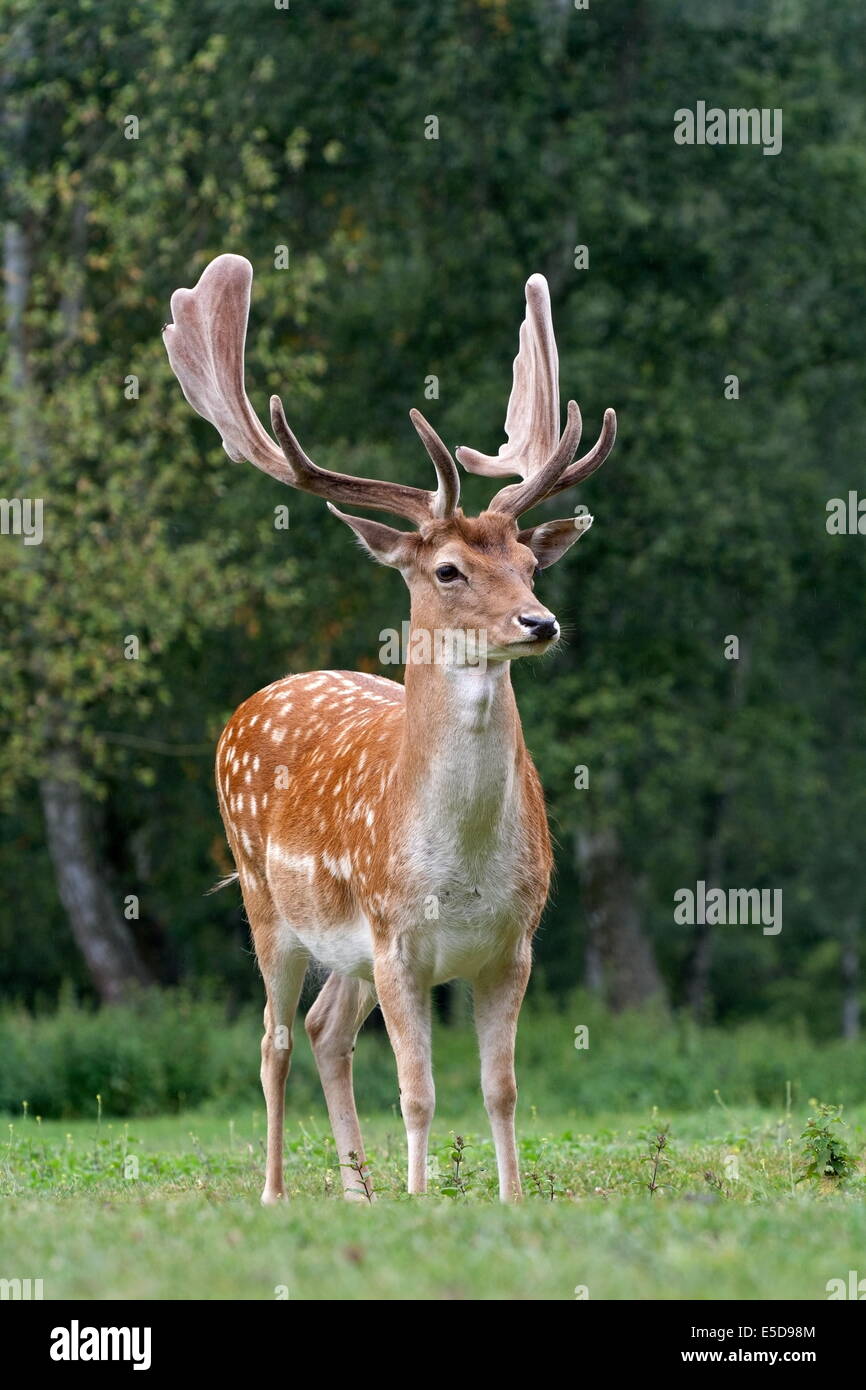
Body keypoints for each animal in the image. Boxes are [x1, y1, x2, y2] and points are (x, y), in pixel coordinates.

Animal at [163, 255, 616, 1203]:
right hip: (267, 898)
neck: (460, 871)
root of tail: (251, 701)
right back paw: (279, 1191)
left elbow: (500, 1087)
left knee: (327, 1028)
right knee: (275, 1040)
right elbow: (417, 1089)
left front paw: (509, 1199)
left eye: (529, 562)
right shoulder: (397, 937)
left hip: (348, 950)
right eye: (447, 569)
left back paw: (357, 1192)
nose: (541, 622)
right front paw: (419, 1198)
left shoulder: (512, 944)